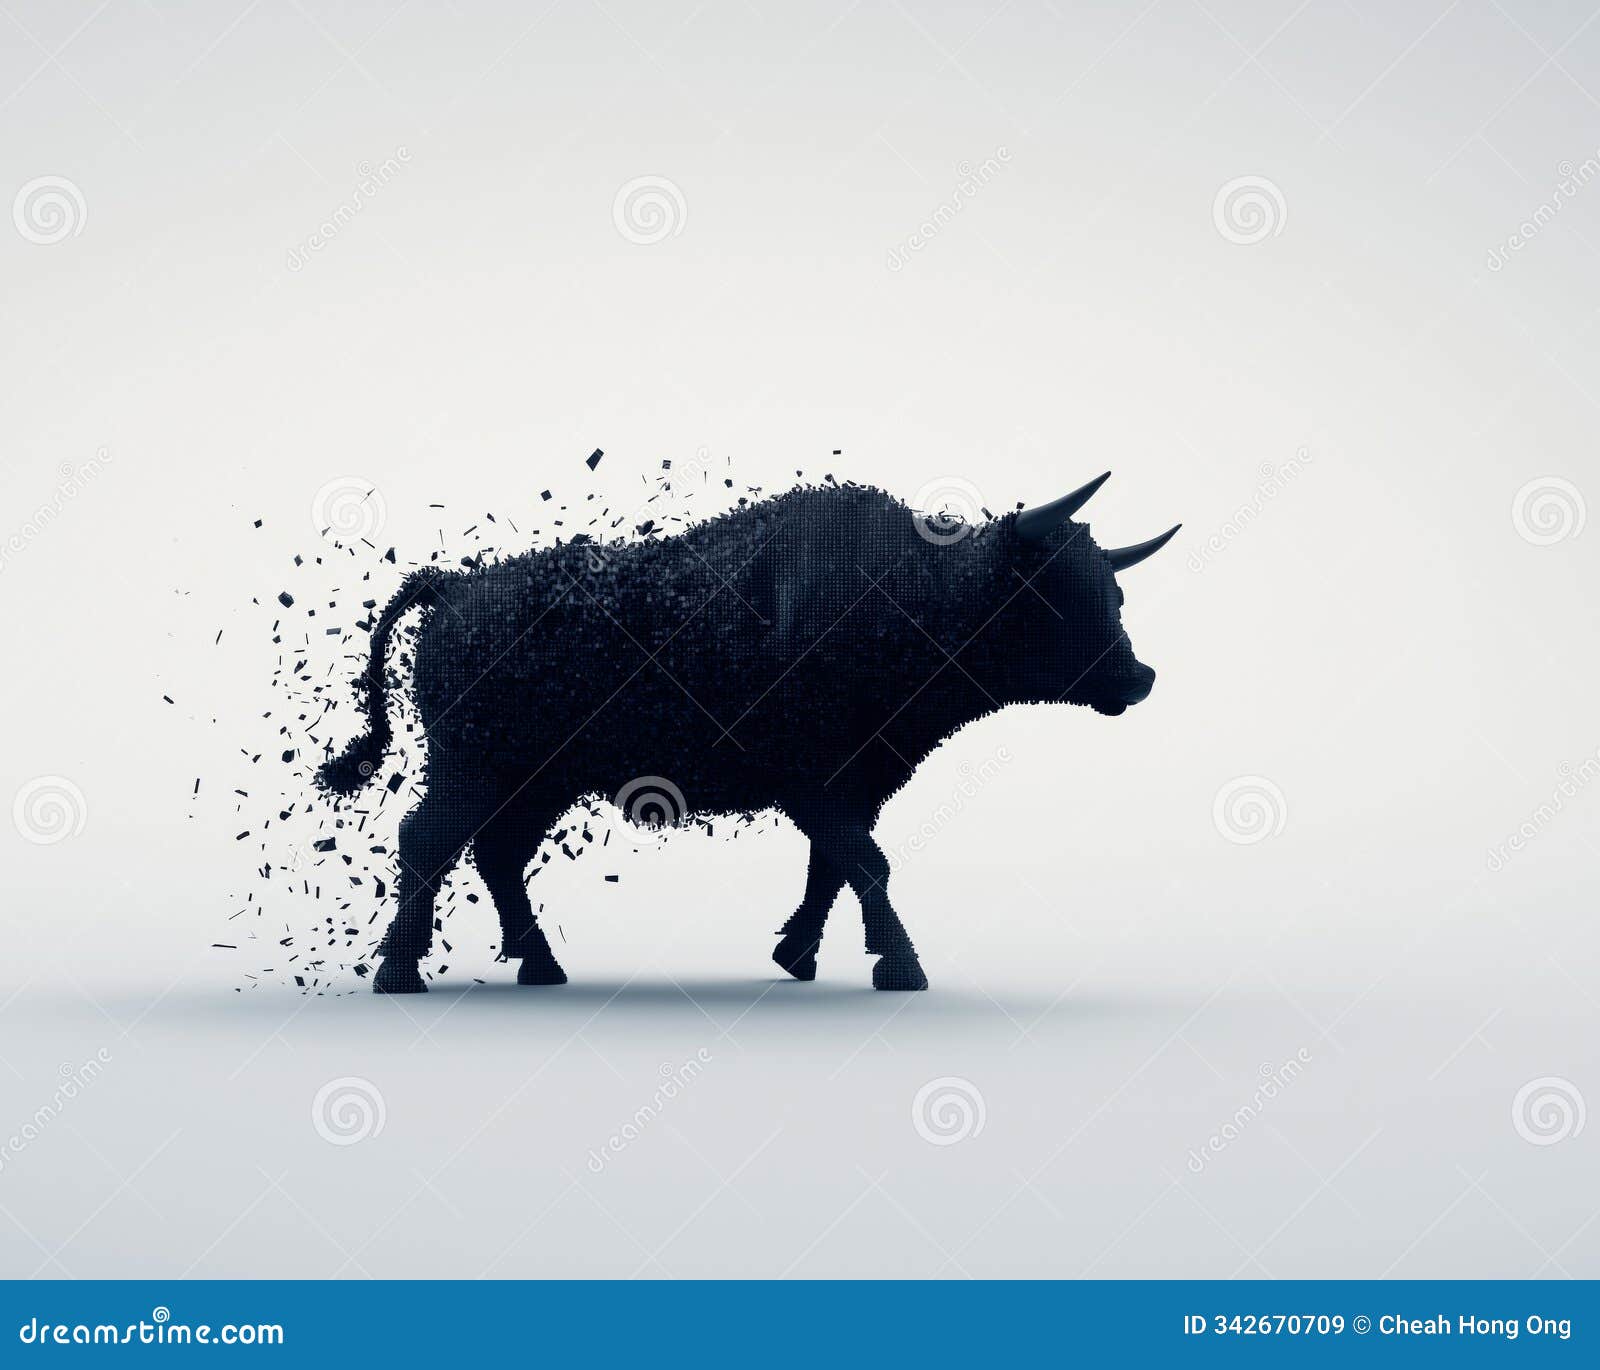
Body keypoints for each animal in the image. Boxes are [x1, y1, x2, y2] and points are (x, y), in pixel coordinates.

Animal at [316, 476, 1178, 993]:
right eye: (1053, 590)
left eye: (1113, 588)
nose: (1139, 678)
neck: (914, 590)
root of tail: (456, 587)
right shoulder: (816, 782)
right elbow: (866, 863)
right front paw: (901, 967)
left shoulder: (855, 785)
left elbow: (835, 868)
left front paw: (798, 955)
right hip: (476, 768)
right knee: (429, 838)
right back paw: (400, 973)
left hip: (539, 782)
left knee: (496, 853)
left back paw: (542, 965)